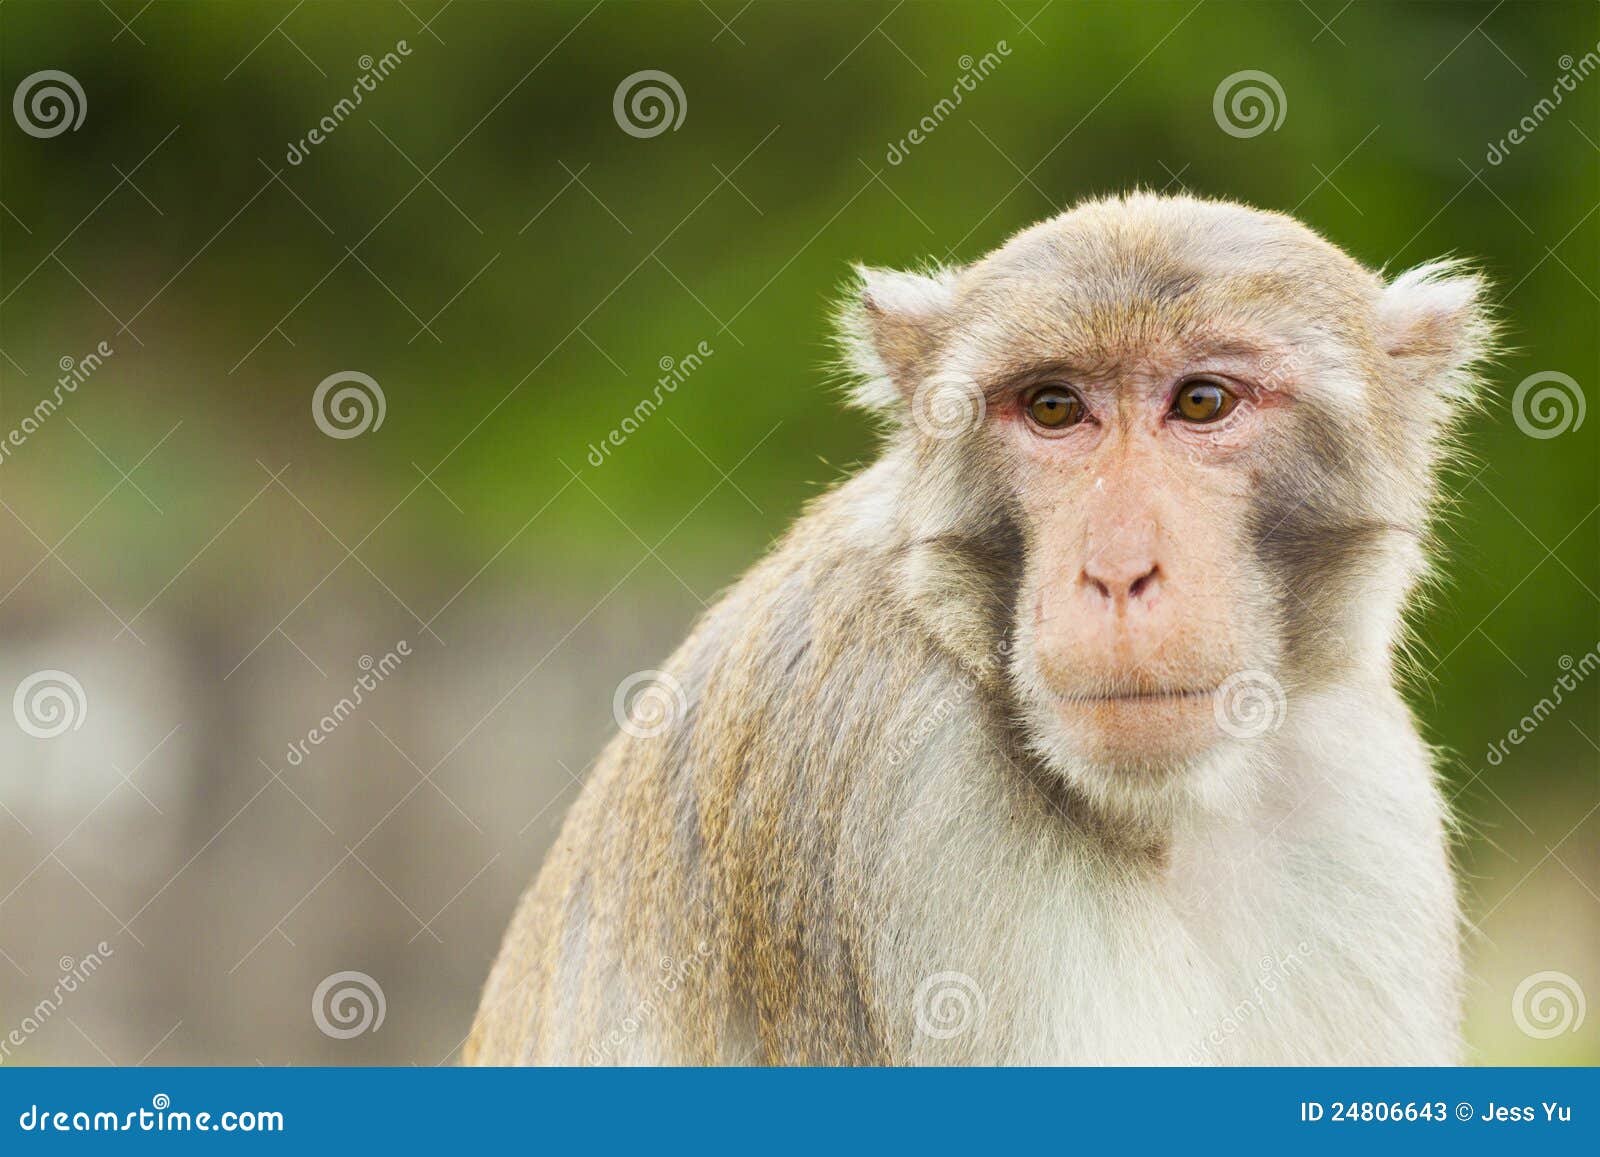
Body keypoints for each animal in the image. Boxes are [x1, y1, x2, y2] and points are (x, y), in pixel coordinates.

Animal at [465, 192, 1495, 1066]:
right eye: (1053, 406)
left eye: (1203, 400)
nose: (1117, 569)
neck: (1165, 819)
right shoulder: (906, 785)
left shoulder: (1359, 787)